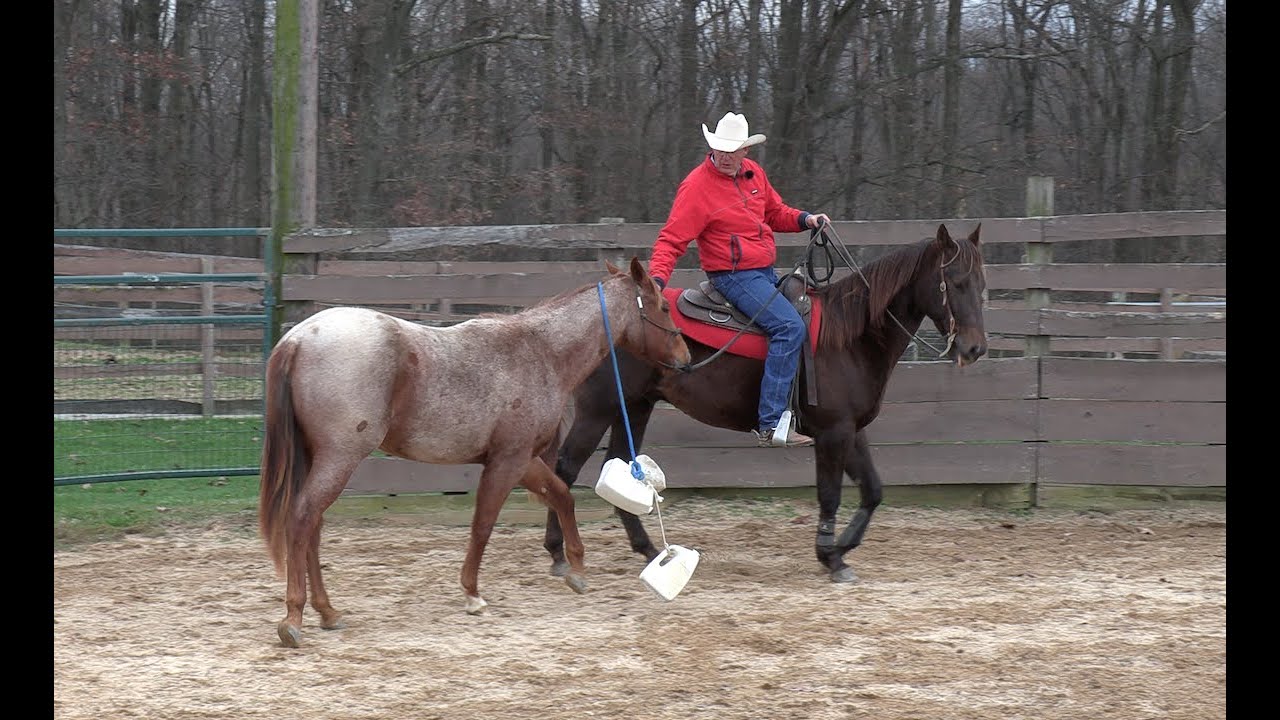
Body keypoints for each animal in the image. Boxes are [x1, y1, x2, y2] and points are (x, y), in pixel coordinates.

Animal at [258, 257, 691, 647]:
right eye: (664, 307)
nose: (685, 360)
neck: (541, 353)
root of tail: (299, 339)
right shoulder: (507, 461)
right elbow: (483, 525)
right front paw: (473, 595)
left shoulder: (521, 460)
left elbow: (562, 496)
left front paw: (576, 569)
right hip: (339, 459)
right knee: (302, 519)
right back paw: (294, 619)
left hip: (316, 459)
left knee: (311, 527)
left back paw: (328, 612)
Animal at [544, 224, 987, 583]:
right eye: (955, 282)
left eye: (981, 284)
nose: (975, 349)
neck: (852, 337)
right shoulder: (833, 433)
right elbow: (830, 494)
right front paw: (829, 554)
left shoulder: (851, 430)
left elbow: (873, 490)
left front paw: (840, 550)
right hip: (598, 409)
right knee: (564, 470)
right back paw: (559, 554)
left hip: (634, 407)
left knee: (618, 467)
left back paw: (650, 551)